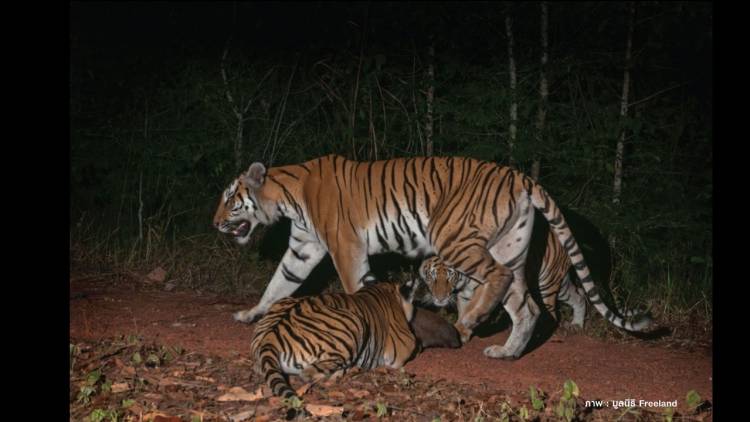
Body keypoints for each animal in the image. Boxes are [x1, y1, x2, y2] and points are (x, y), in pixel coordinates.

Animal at [214, 154, 651, 360]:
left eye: (230, 199)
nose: (215, 223)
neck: (287, 197)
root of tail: (522, 176)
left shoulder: (344, 246)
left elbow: (355, 287)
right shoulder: (304, 248)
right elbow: (278, 283)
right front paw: (250, 314)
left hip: (456, 236)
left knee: (498, 279)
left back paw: (470, 320)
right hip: (510, 247)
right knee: (525, 305)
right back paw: (506, 351)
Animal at [250, 280, 458, 399]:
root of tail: (271, 335)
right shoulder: (404, 347)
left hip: (283, 302)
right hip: (354, 323)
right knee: (309, 373)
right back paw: (347, 371)